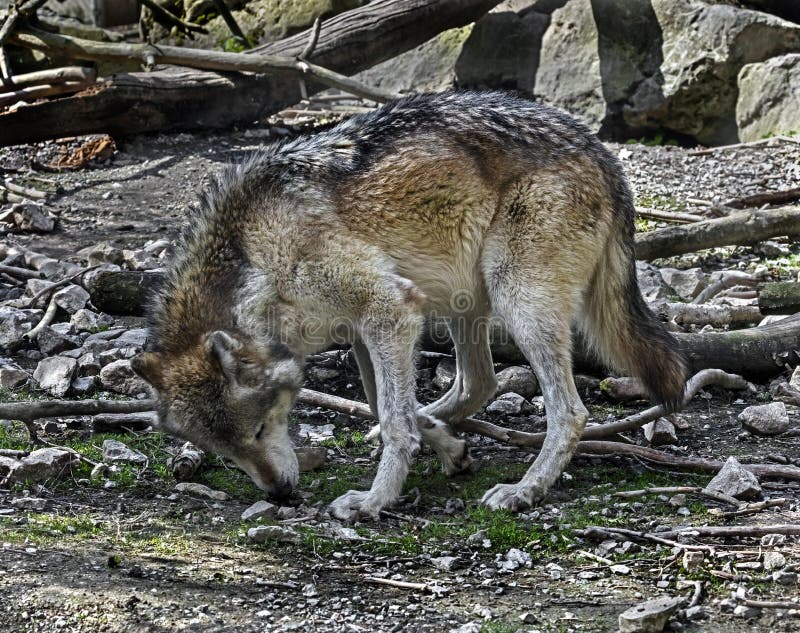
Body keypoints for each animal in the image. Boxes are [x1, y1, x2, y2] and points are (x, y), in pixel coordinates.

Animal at [131, 91, 686, 520]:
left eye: (262, 428)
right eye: (228, 452)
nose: (281, 494)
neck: (254, 253)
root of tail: (602, 151)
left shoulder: (390, 309)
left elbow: (398, 419)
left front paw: (374, 501)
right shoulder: (363, 329)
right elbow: (387, 405)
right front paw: (447, 447)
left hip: (516, 302)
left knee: (568, 412)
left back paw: (524, 490)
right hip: (465, 300)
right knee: (479, 382)